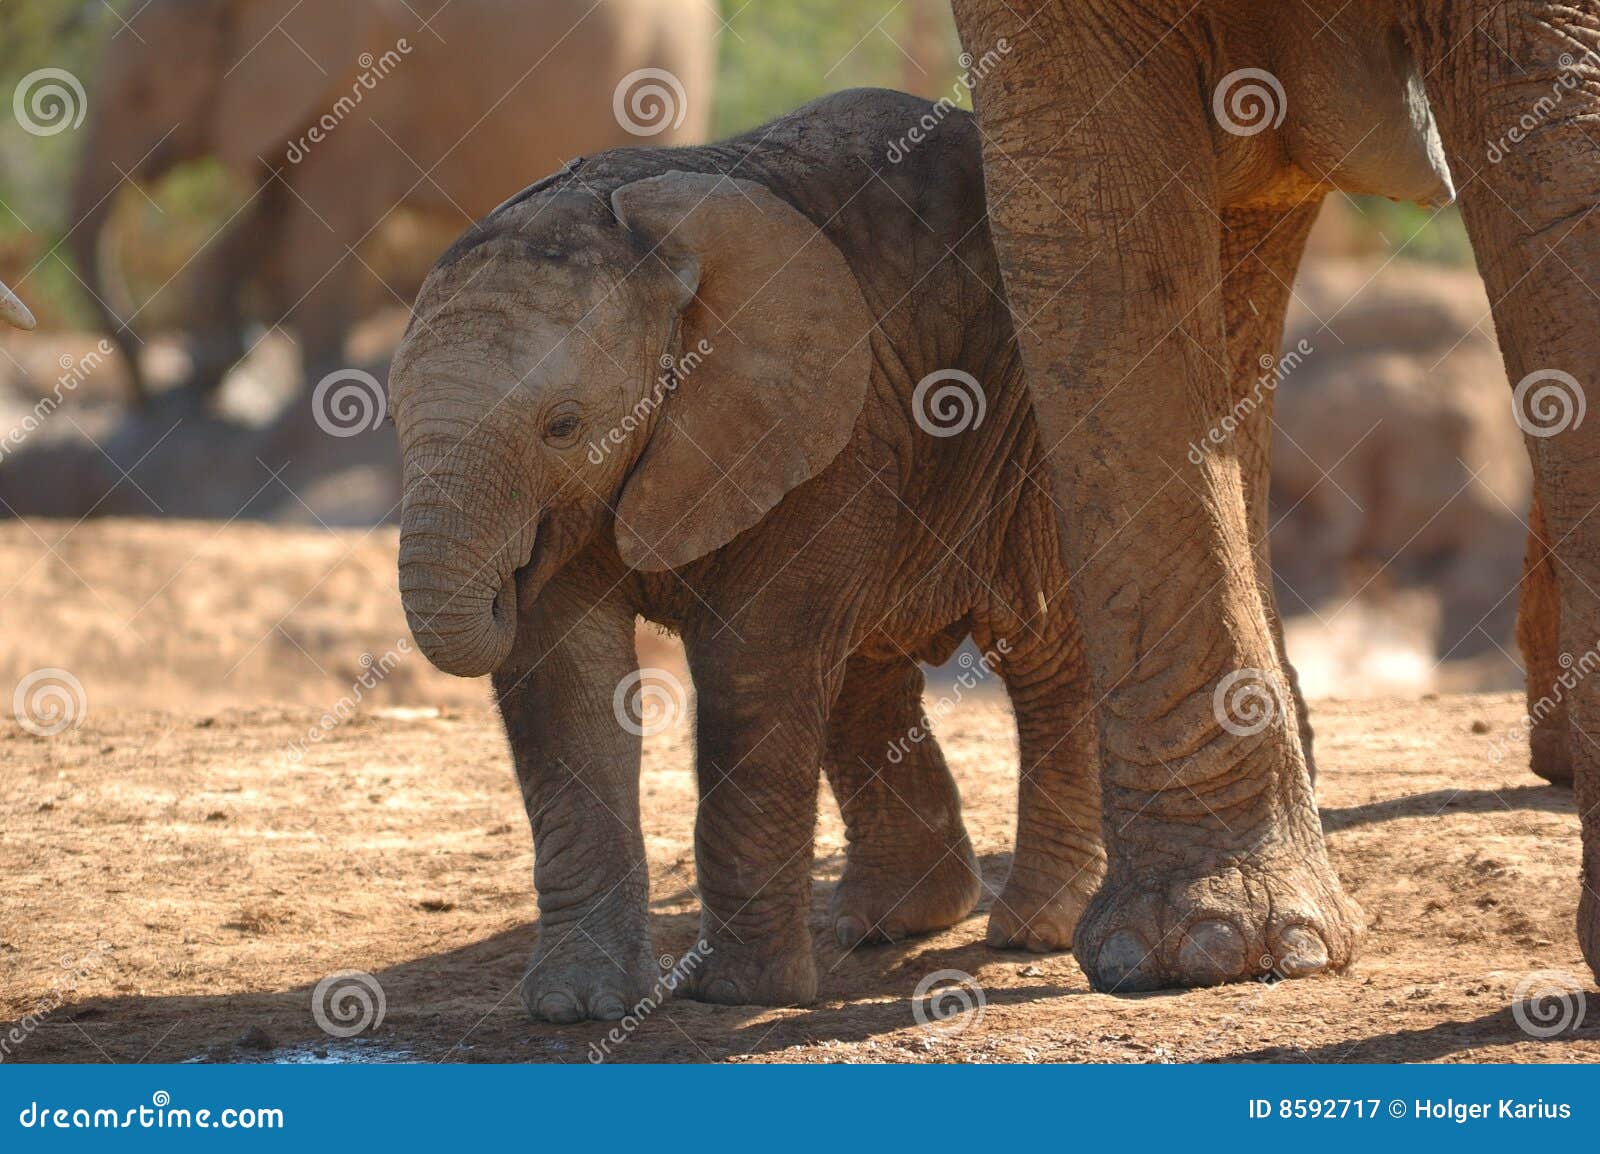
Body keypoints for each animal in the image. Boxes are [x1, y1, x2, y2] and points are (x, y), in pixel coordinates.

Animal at [69, 0, 715, 404]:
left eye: (143, 93)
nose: (147, 396)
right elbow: (270, 213)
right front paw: (214, 366)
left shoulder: (364, 86)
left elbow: (318, 228)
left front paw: (319, 384)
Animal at [388, 84, 1450, 1017]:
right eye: (388, 417)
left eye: (563, 425)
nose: (502, 579)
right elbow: (563, 683)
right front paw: (573, 1009)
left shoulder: (826, 419)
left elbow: (753, 666)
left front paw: (733, 997)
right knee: (867, 669)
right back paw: (893, 922)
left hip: (1038, 432)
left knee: (1046, 655)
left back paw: (1032, 930)